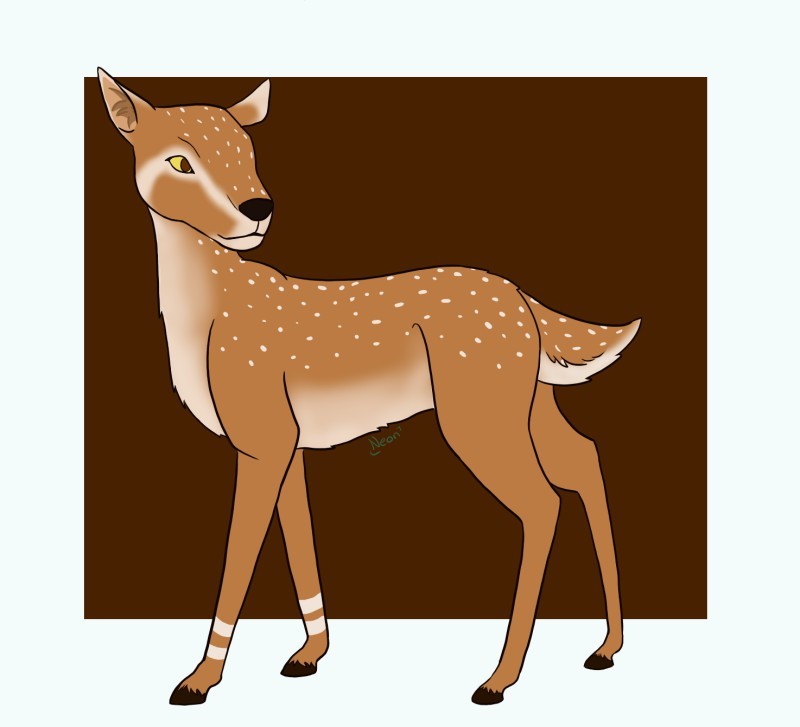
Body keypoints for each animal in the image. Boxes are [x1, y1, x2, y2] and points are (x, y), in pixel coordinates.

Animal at [97, 69, 640, 707]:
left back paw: (499, 678)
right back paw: (606, 647)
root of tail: (523, 299)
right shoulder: (288, 444)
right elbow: (300, 545)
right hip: (524, 406)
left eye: (248, 150)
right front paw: (310, 652)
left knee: (542, 503)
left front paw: (200, 679)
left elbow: (238, 559)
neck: (207, 313)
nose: (258, 208)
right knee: (585, 460)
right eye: (180, 160)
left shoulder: (260, 440)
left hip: (476, 418)